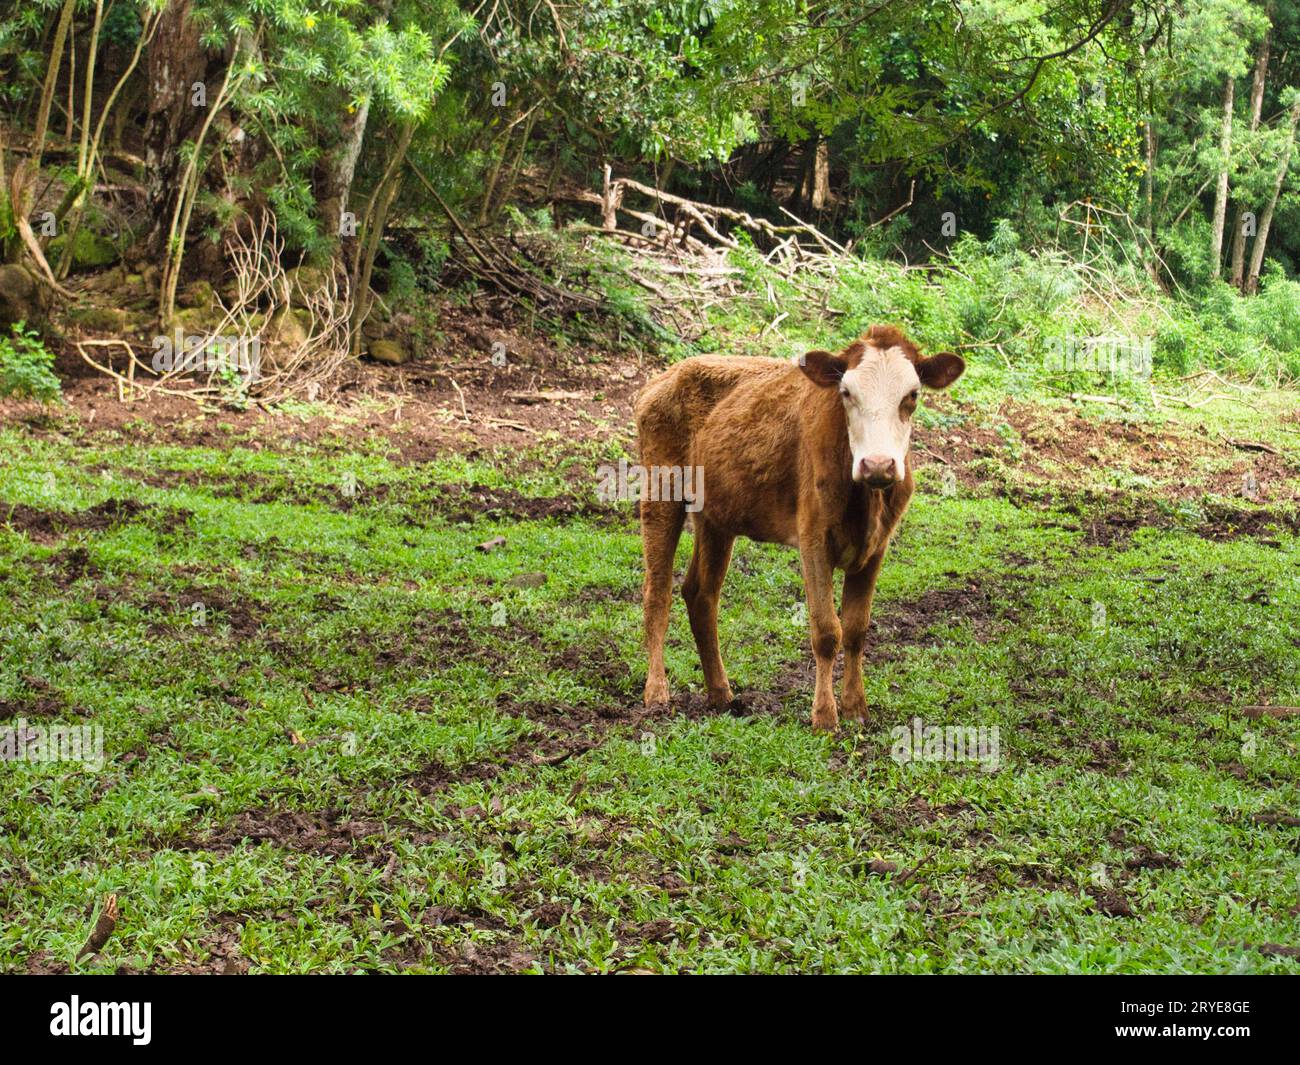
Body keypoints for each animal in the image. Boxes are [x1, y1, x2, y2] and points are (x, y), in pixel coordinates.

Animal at [634, 325, 964, 731]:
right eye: (846, 393)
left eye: (912, 395)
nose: (878, 464)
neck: (864, 499)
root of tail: (664, 376)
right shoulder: (813, 537)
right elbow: (826, 630)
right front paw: (824, 717)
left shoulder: (878, 545)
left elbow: (856, 628)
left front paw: (856, 709)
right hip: (660, 489)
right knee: (657, 592)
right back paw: (656, 691)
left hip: (715, 515)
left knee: (701, 594)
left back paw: (721, 693)